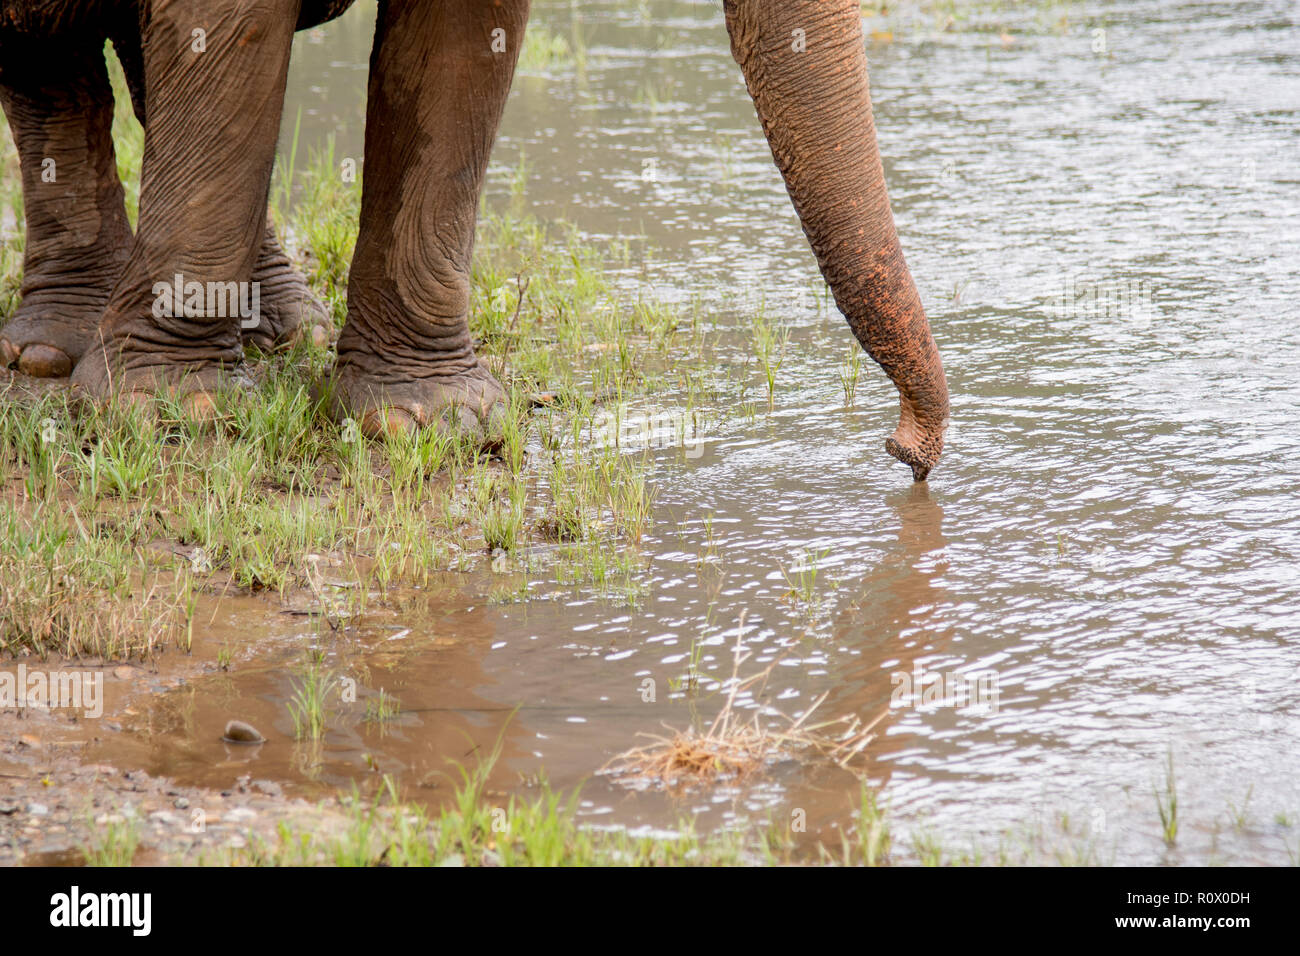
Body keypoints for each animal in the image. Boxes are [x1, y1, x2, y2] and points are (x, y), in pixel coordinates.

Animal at [0, 0, 950, 480]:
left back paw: (283, 334)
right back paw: (51, 356)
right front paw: (173, 414)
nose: (904, 452)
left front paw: (431, 425)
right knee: (48, 57)